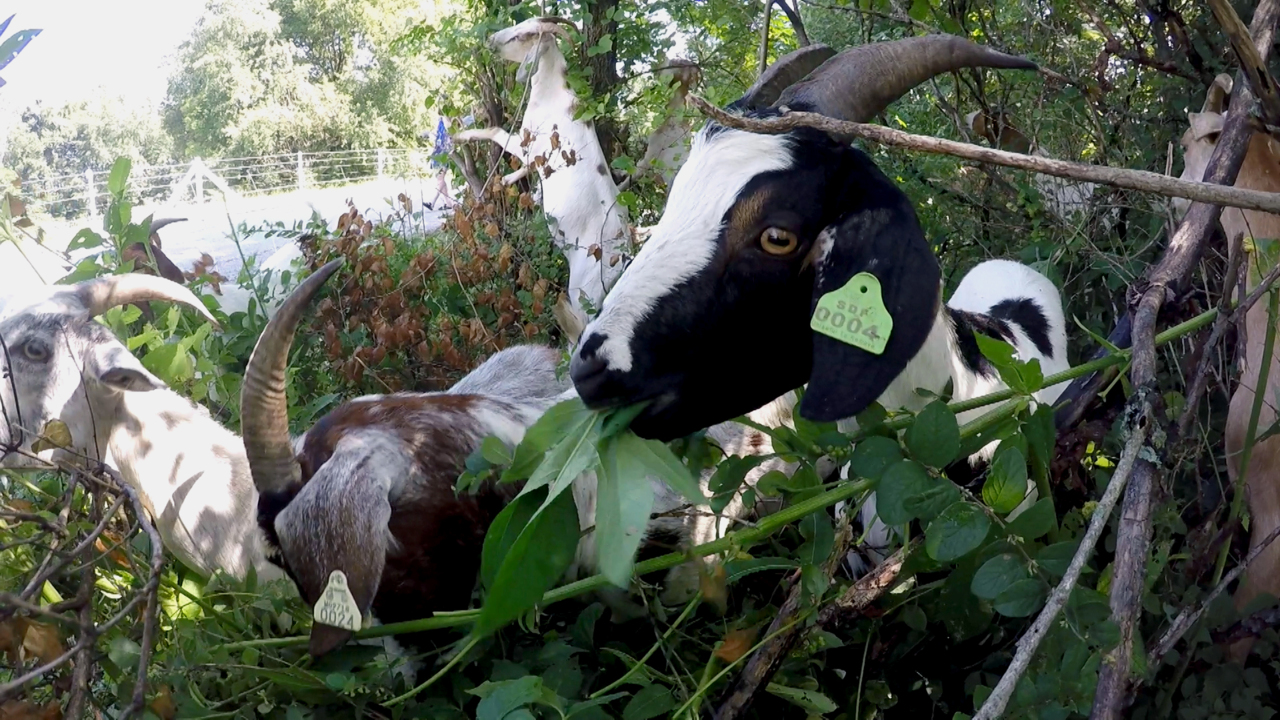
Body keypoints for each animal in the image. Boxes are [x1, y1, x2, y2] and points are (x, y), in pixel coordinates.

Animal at [454, 17, 631, 315]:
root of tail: (625, 259)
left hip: (584, 293)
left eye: (522, 36)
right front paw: (507, 181)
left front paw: (459, 137)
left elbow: (495, 132)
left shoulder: (528, 145)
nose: (490, 41)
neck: (553, 94)